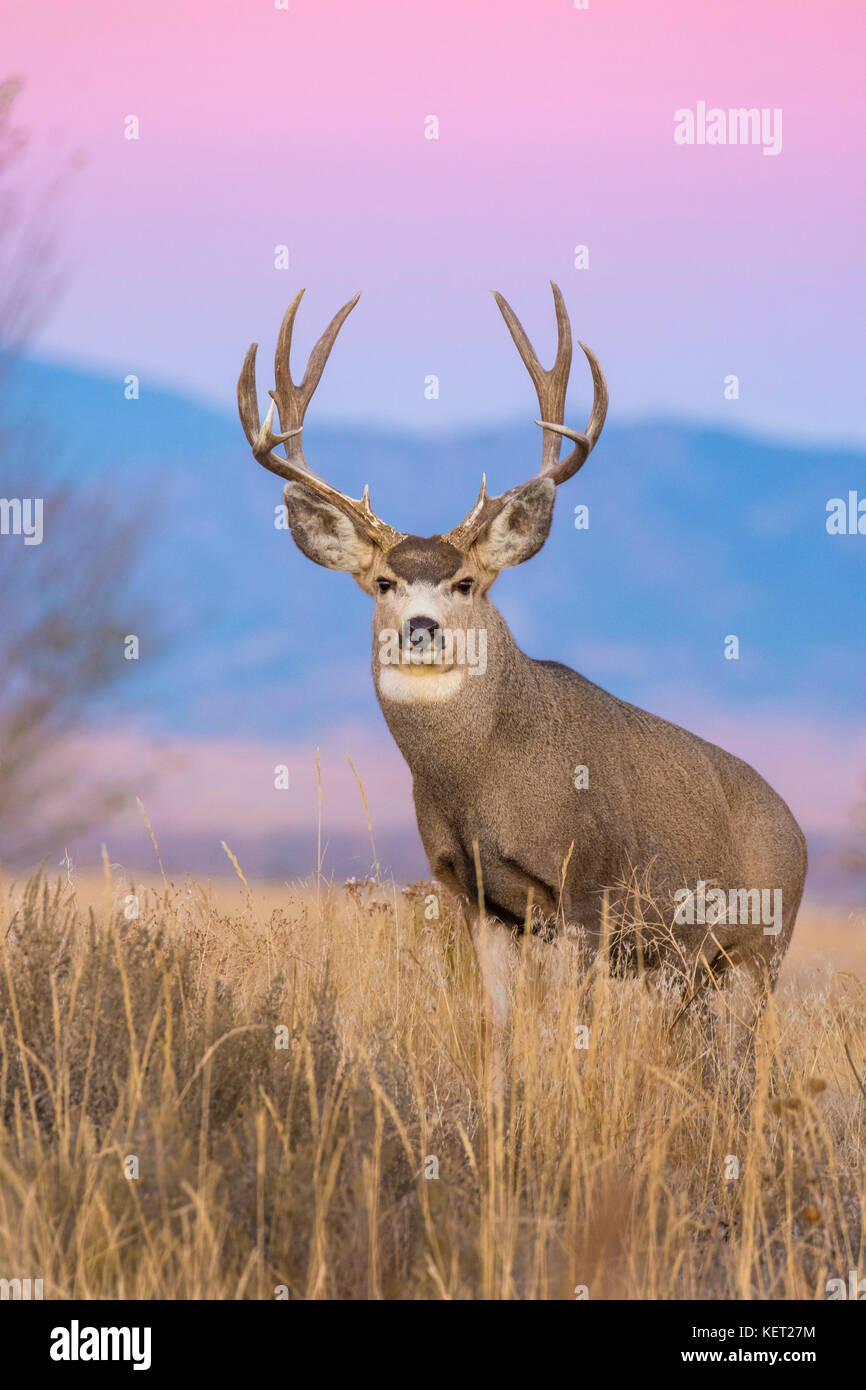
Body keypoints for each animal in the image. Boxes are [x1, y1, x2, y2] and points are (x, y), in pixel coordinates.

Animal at [237, 284, 807, 1022]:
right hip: (696, 969)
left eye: (466, 582)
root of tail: (797, 833)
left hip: (763, 949)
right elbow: (501, 1021)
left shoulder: (591, 891)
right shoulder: (474, 895)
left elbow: (575, 1023)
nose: (421, 627)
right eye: (384, 582)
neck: (482, 779)